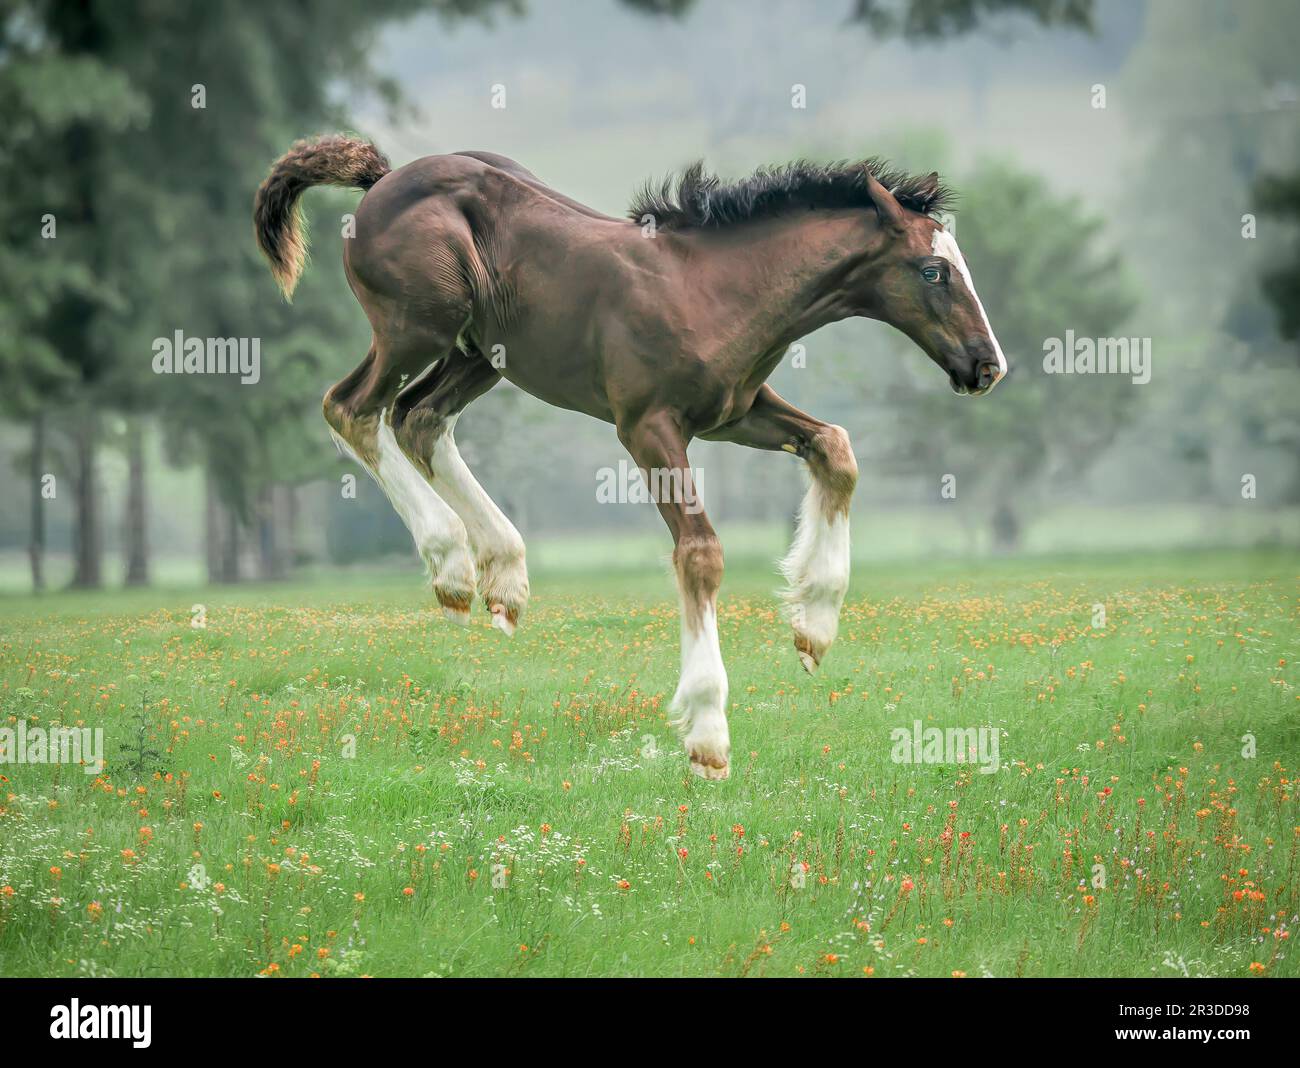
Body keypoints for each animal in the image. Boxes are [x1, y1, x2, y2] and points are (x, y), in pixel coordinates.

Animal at [253, 135, 1007, 781]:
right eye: (934, 270)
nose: (986, 366)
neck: (711, 290)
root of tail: (382, 180)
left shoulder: (734, 413)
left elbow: (836, 448)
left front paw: (813, 627)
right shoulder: (648, 430)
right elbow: (700, 553)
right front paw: (707, 733)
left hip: (482, 352)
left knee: (419, 417)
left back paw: (502, 574)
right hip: (420, 325)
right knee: (353, 406)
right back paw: (451, 564)